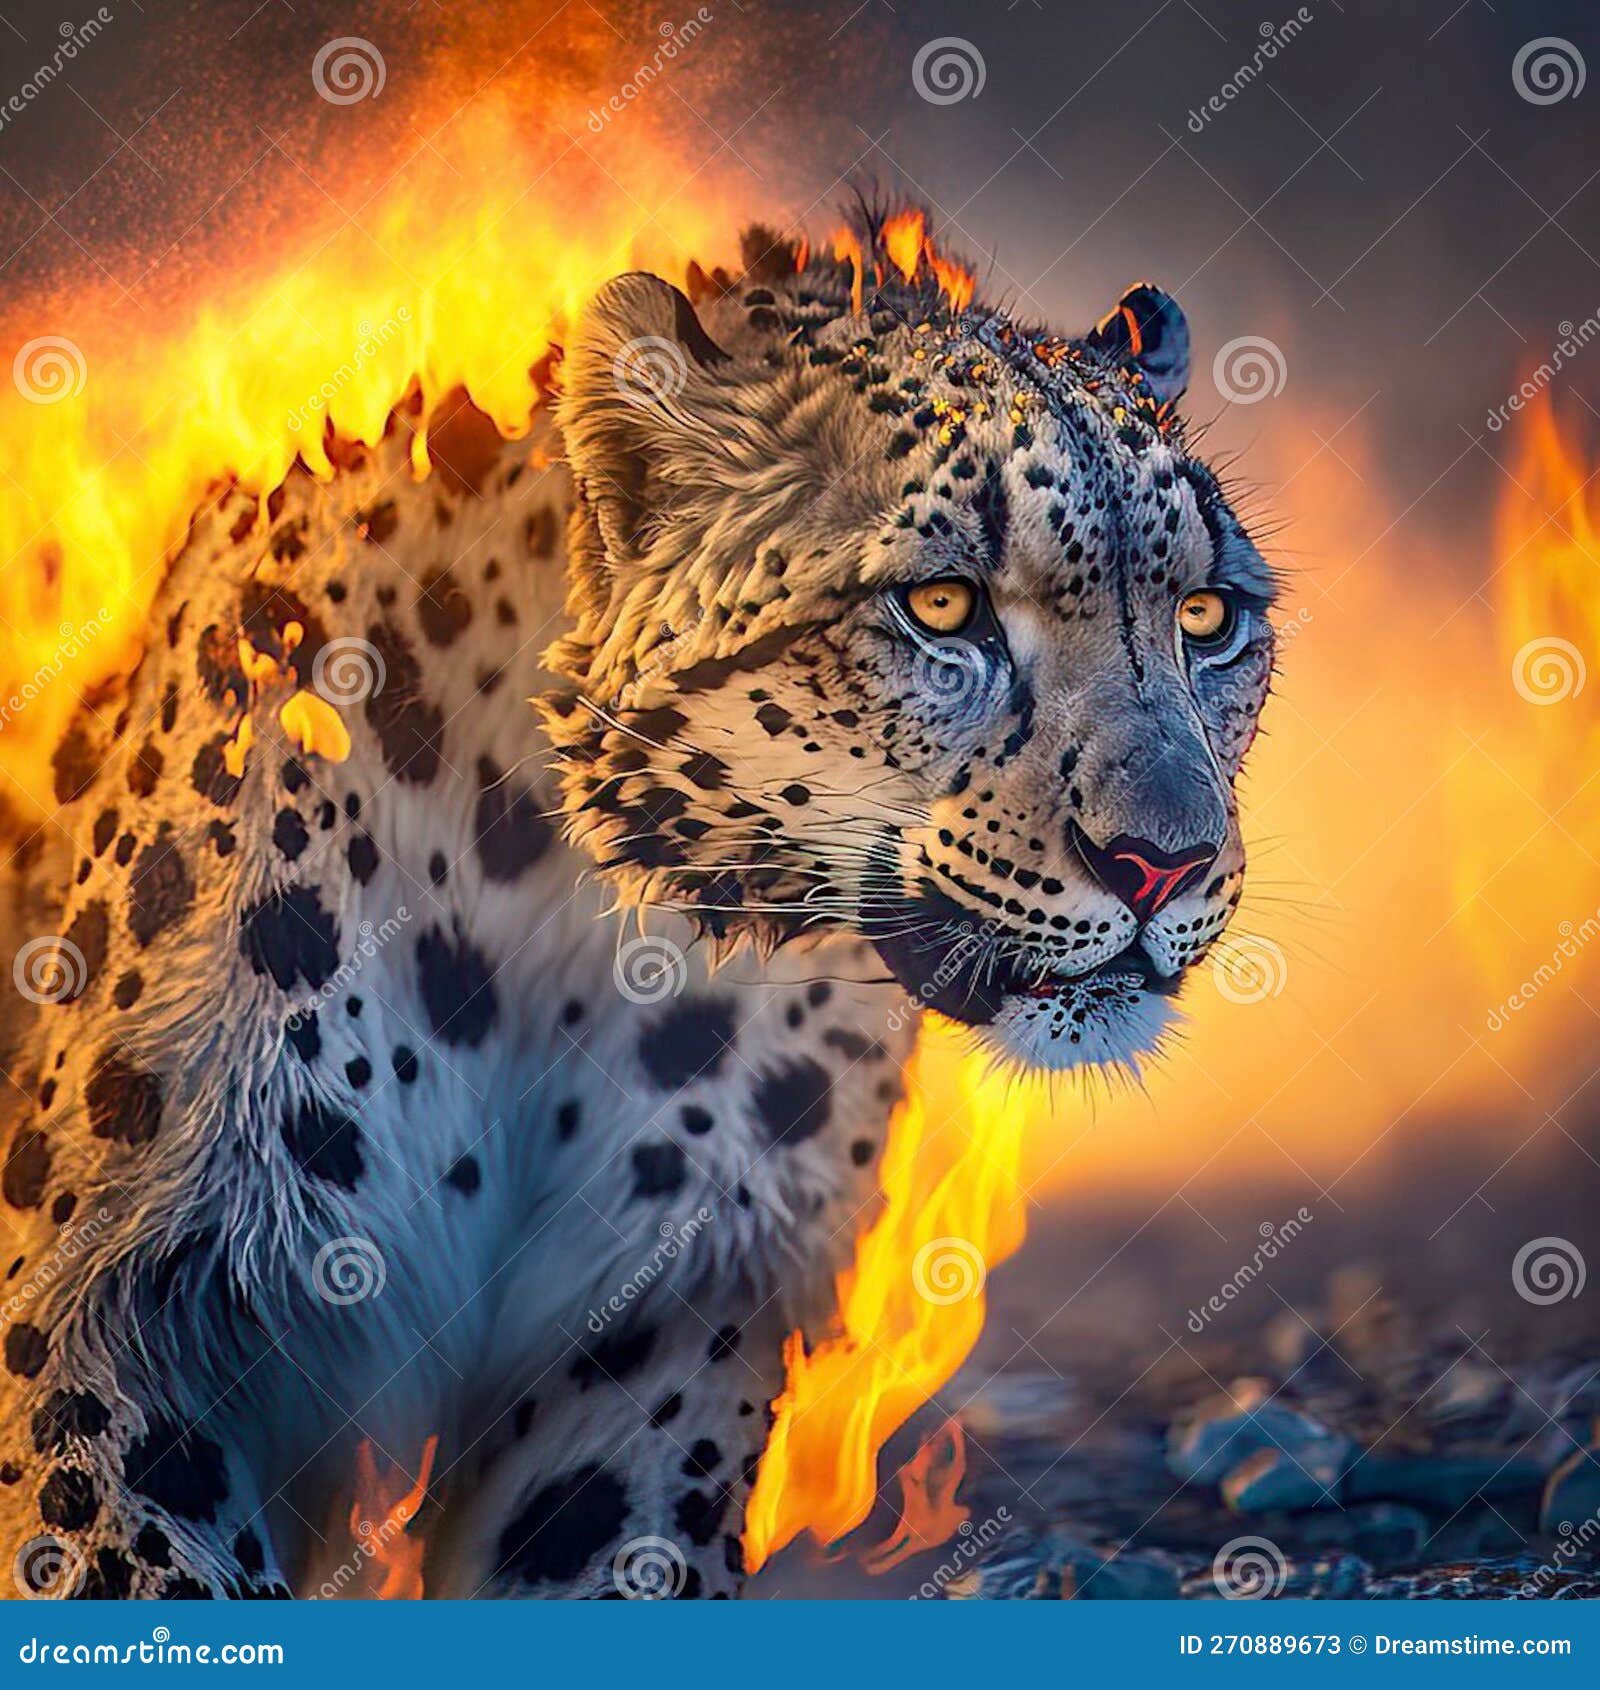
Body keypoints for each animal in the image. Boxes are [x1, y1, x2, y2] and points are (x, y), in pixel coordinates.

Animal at [0, 214, 1276, 1600]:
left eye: (1208, 616)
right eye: (941, 605)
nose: (1163, 864)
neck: (553, 900)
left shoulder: (659, 1325)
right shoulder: (108, 1308)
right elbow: (145, 1558)